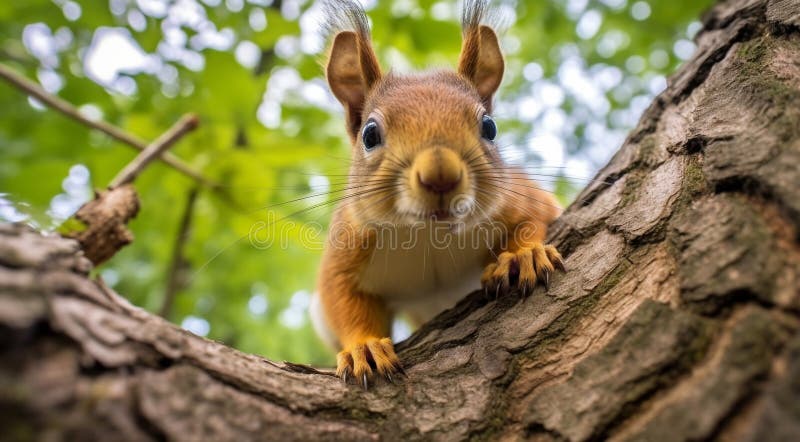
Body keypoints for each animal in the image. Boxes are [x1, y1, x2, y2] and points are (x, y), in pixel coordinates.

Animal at [309, 0, 565, 388]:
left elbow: (533, 217)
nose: (440, 176)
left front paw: (524, 255)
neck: (430, 236)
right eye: (370, 134)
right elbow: (342, 300)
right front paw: (363, 347)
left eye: (489, 127)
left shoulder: (518, 197)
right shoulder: (347, 246)